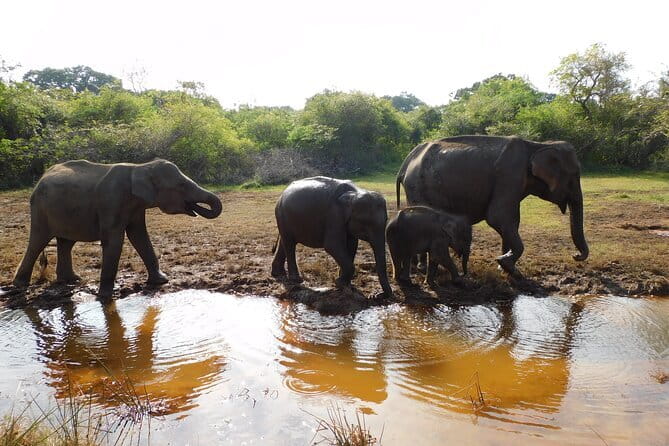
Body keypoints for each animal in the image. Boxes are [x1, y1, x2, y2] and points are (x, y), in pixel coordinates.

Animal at [13, 158, 222, 298]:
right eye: (181, 185)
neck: (141, 167)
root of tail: (41, 178)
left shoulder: (136, 207)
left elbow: (139, 236)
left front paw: (161, 281)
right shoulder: (111, 200)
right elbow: (114, 241)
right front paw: (105, 297)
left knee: (66, 242)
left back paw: (71, 280)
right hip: (40, 210)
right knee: (38, 241)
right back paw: (20, 284)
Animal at [396, 136, 588, 277]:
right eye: (574, 176)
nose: (575, 255)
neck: (537, 145)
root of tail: (406, 162)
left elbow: (511, 221)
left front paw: (504, 267)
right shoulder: (509, 175)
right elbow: (498, 217)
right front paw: (509, 266)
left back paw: (419, 267)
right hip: (417, 187)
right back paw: (421, 268)